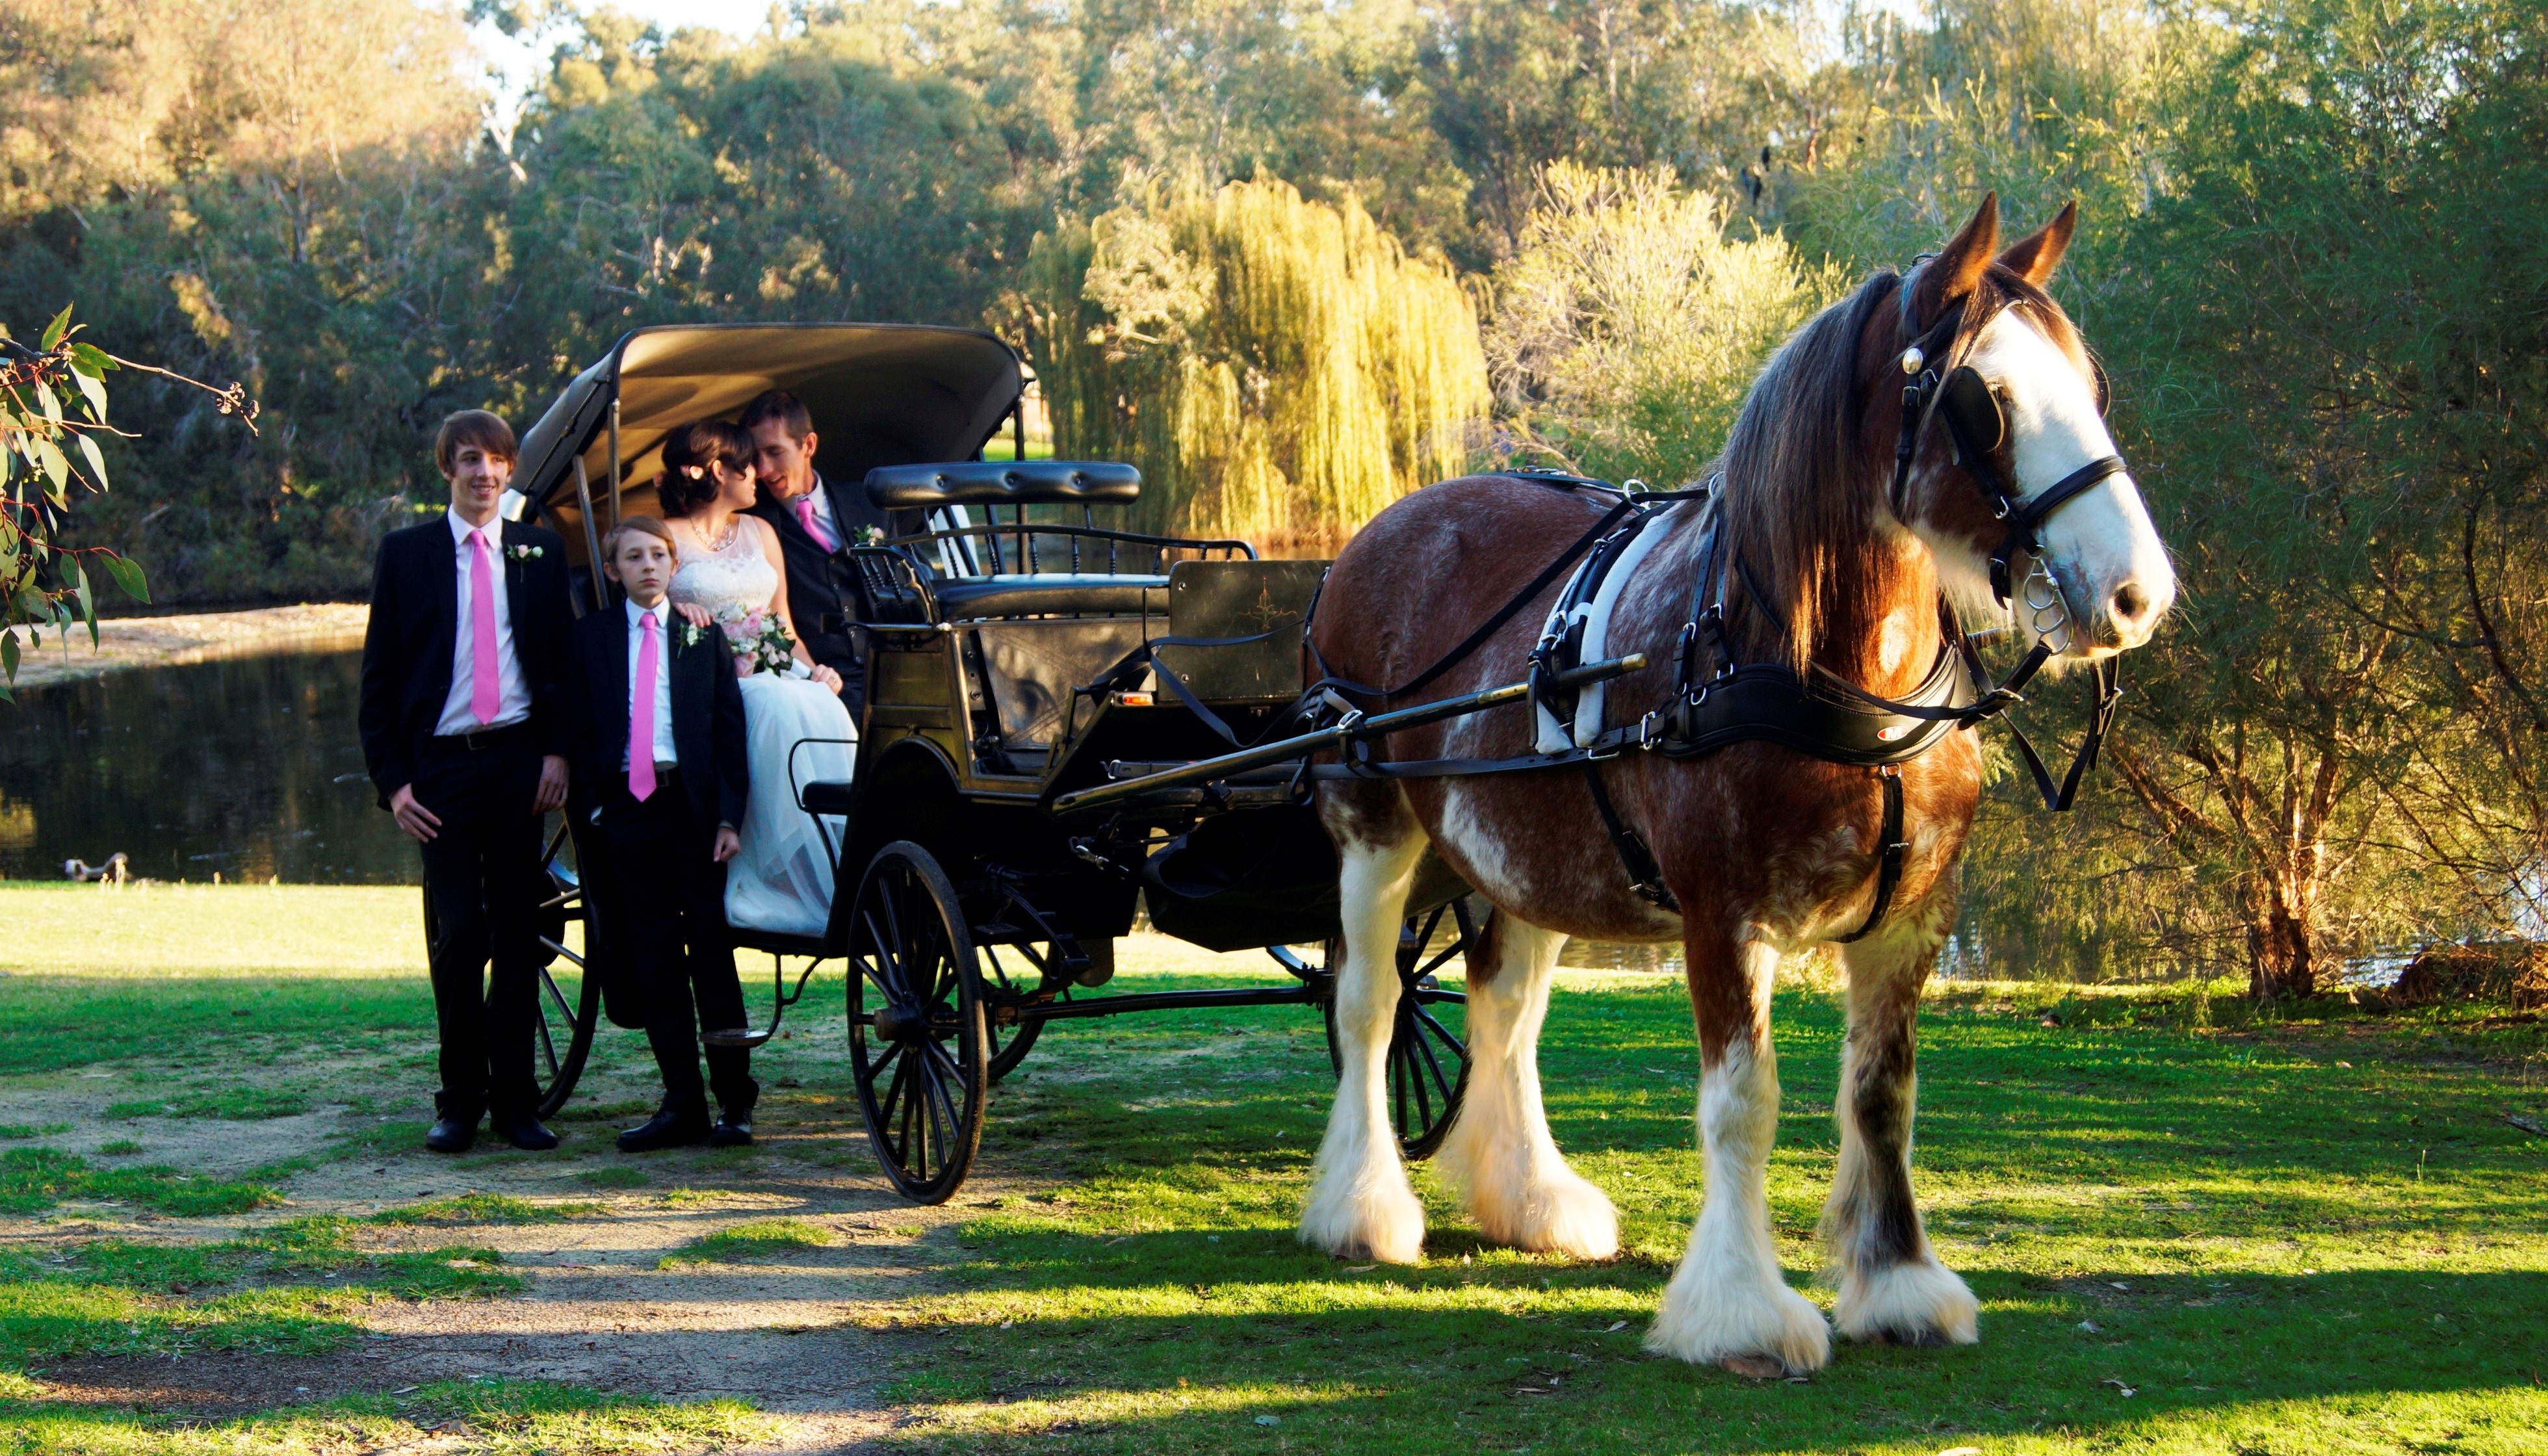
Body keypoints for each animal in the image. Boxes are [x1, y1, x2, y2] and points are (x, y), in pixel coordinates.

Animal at [1300, 195, 2175, 1374]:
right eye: (1983, 404)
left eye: (2091, 387)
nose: (2136, 594)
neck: (1813, 666)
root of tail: (1376, 532)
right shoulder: (1726, 917)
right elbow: (1741, 1105)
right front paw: (1741, 1310)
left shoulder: (1915, 920)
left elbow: (1882, 1097)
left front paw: (1898, 1282)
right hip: (1374, 830)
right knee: (1370, 1005)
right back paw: (1362, 1207)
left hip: (1524, 855)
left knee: (1505, 1011)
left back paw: (1531, 1199)